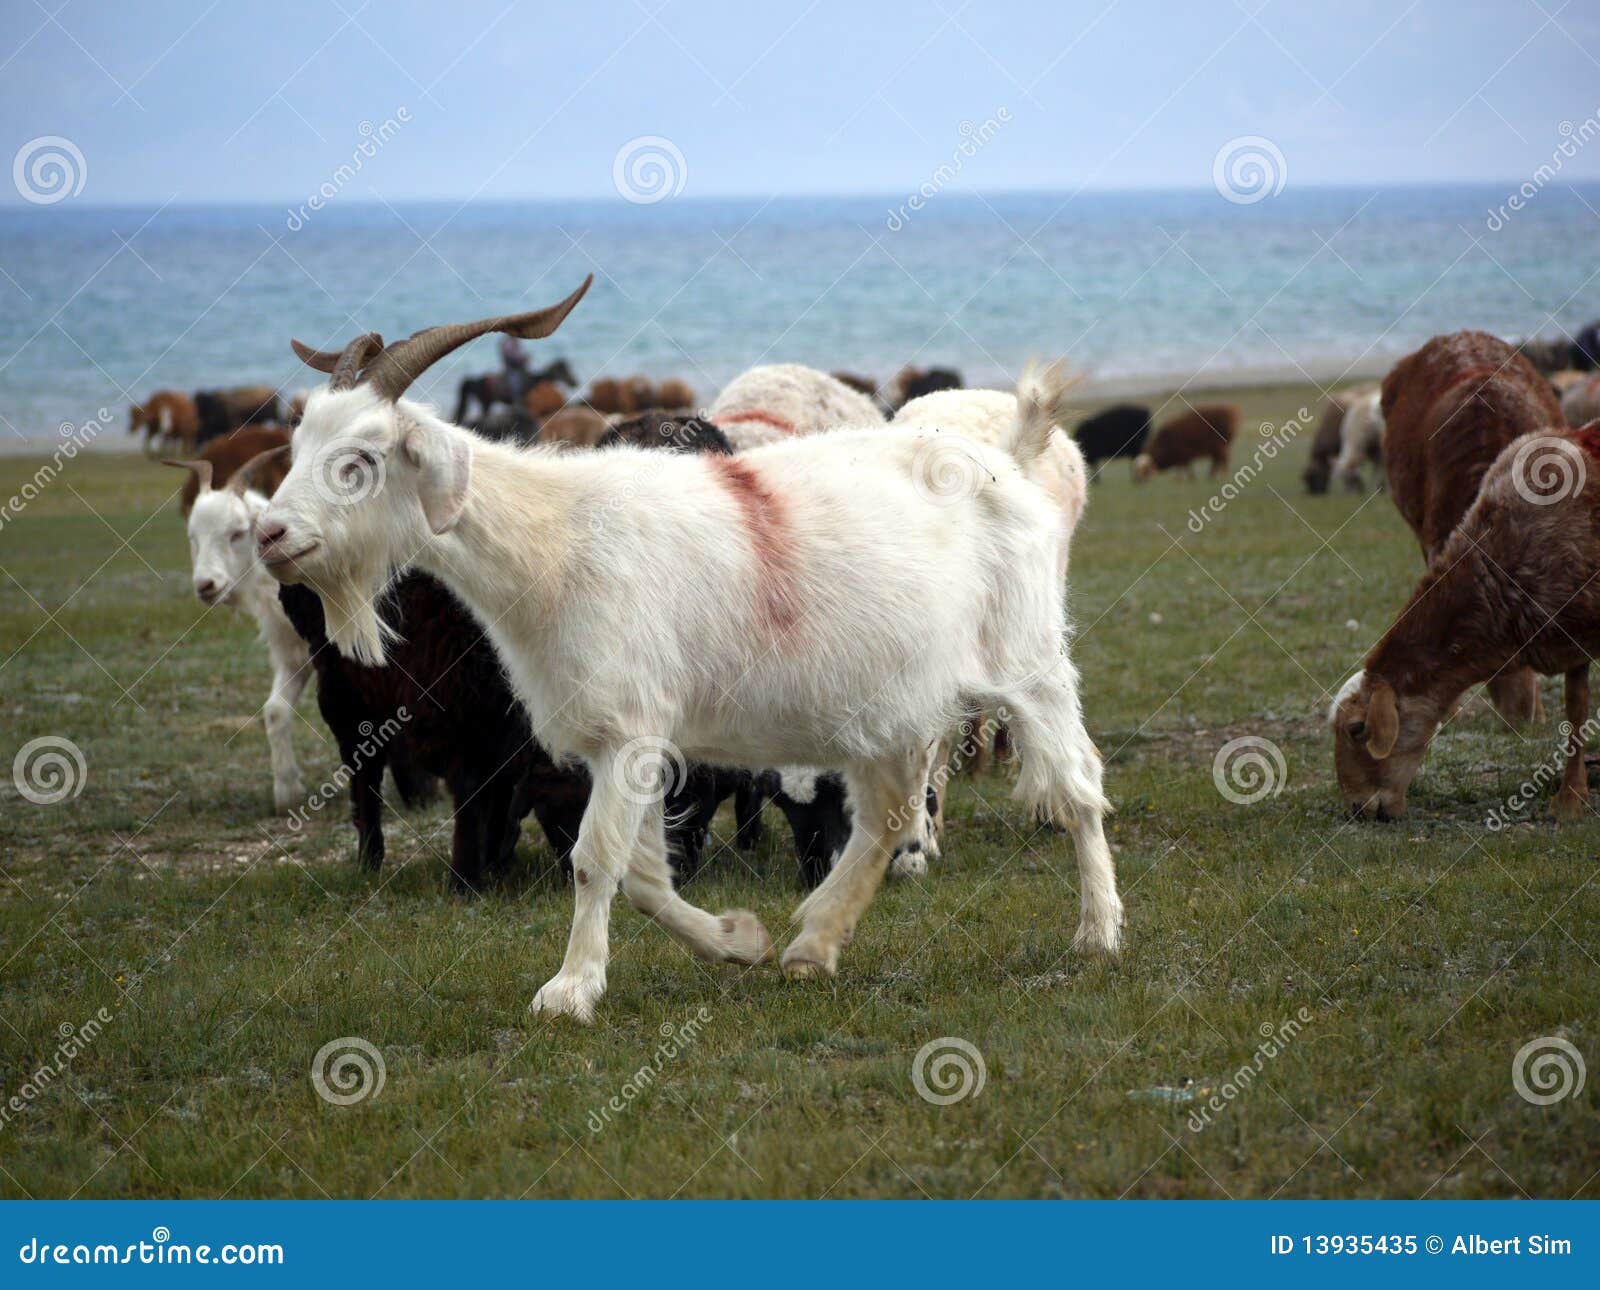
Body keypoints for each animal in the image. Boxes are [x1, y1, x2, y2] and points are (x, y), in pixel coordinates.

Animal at [1332, 423, 1600, 821]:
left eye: (1357, 728)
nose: (1355, 809)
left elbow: (1577, 711)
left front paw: (1568, 800)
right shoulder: (1570, 636)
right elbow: (1576, 708)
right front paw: (1572, 795)